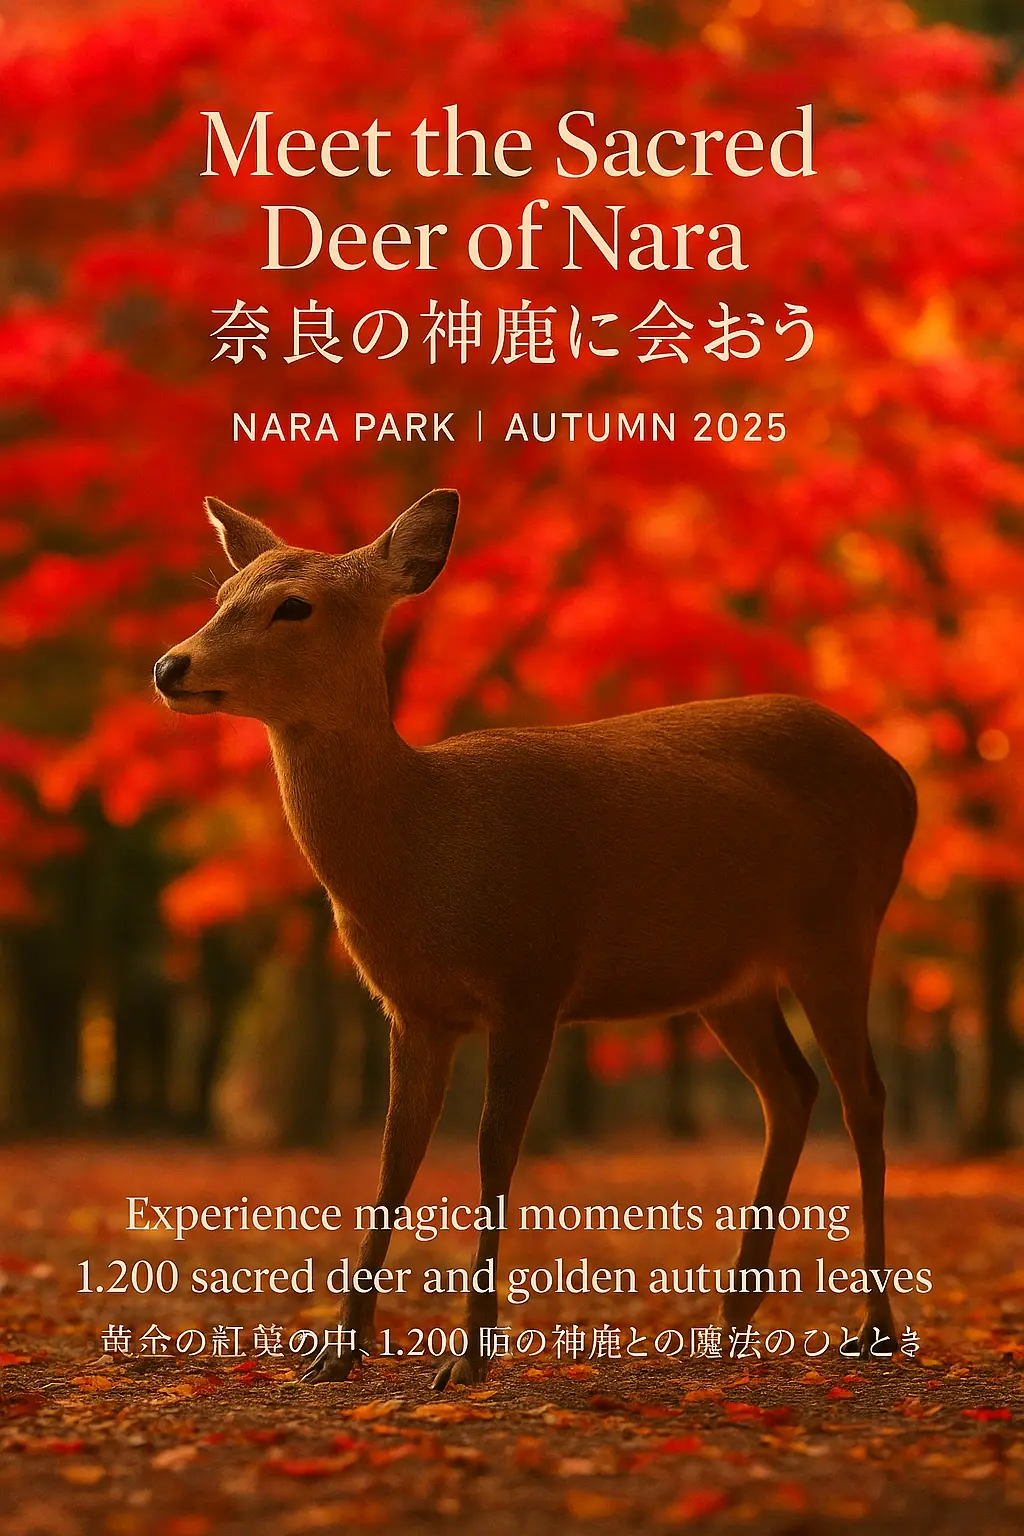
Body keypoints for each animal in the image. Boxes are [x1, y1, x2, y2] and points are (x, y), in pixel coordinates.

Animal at [154, 488, 917, 1389]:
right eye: (220, 594)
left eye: (294, 605)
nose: (171, 666)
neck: (425, 851)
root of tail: (901, 778)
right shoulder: (413, 1008)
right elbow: (392, 1158)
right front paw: (338, 1351)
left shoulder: (532, 976)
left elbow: (494, 1149)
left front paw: (469, 1357)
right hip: (729, 980)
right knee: (792, 1090)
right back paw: (729, 1320)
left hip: (841, 929)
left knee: (865, 1095)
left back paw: (875, 1325)